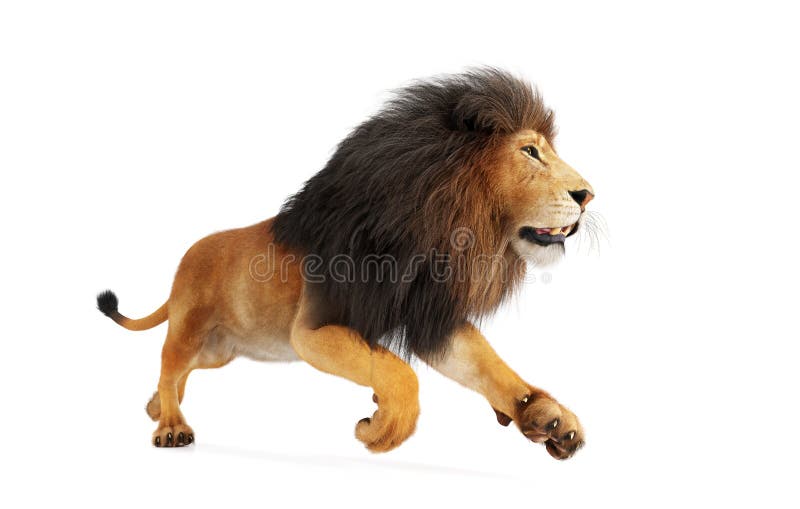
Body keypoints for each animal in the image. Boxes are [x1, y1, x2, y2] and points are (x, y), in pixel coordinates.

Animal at [97, 68, 594, 459]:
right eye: (530, 151)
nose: (587, 195)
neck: (432, 232)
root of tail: (184, 261)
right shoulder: (311, 330)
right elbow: (399, 372)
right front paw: (381, 428)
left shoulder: (428, 315)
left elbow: (486, 363)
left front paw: (545, 415)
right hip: (189, 329)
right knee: (169, 365)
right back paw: (169, 424)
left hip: (220, 350)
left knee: (177, 373)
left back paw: (155, 407)